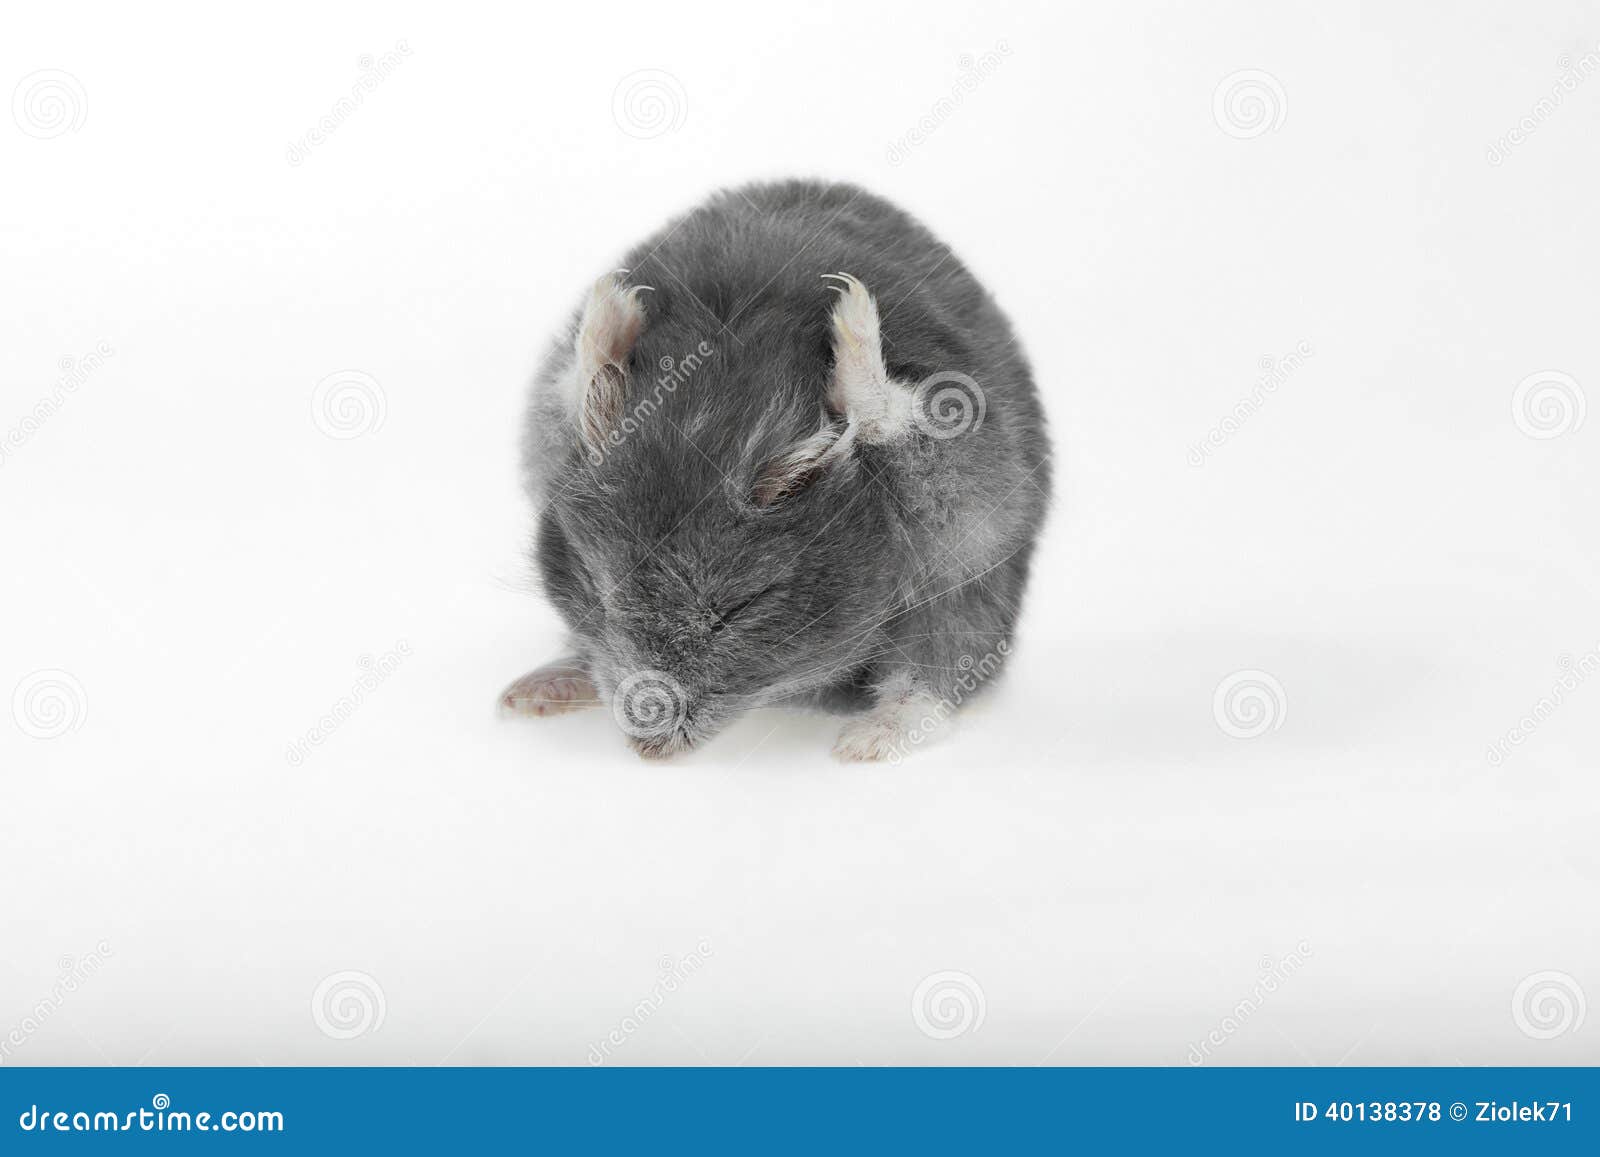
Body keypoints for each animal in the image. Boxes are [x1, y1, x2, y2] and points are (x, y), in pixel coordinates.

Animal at [501, 180, 1051, 761]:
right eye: (599, 590)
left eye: (738, 609)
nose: (648, 753)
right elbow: (573, 381)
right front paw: (615, 301)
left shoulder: (969, 467)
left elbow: (902, 423)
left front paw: (849, 301)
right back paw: (531, 691)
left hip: (972, 595)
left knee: (936, 676)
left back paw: (864, 742)